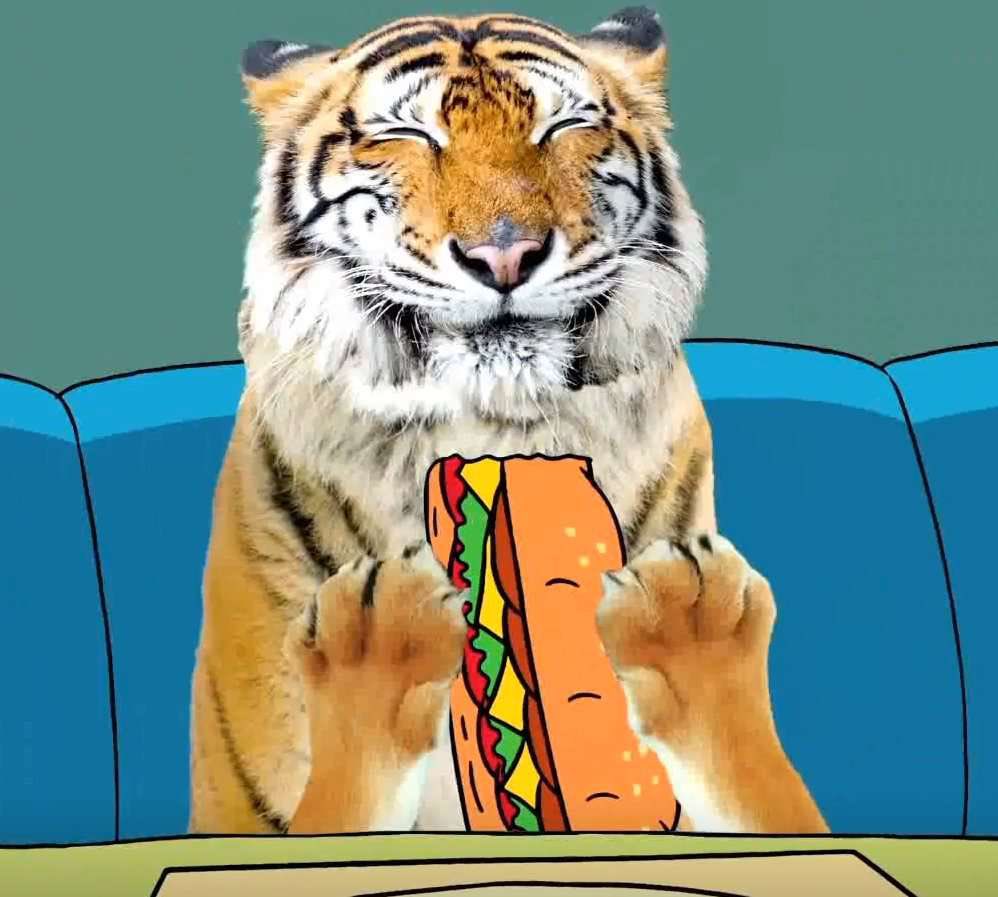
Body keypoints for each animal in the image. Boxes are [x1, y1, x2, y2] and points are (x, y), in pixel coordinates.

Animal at [189, 6, 828, 835]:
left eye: (563, 125)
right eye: (408, 132)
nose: (505, 255)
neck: (489, 426)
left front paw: (692, 622)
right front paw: (378, 640)